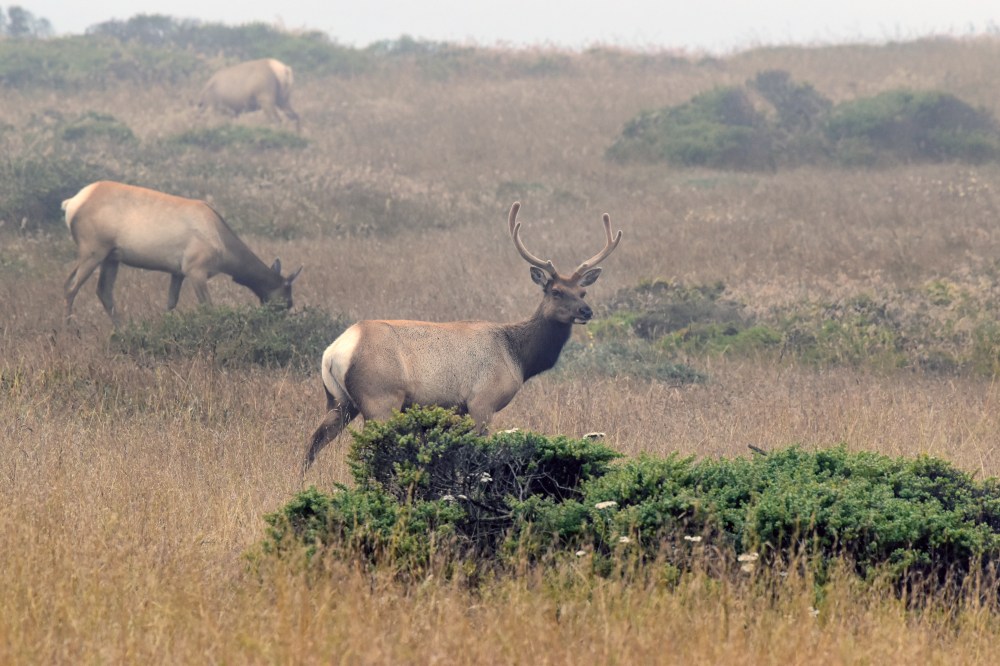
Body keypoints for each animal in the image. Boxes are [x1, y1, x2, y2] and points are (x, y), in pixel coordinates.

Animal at [62, 181, 302, 326]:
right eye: (287, 301)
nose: (276, 324)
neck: (222, 245)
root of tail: (70, 203)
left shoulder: (177, 272)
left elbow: (171, 303)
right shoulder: (196, 270)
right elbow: (208, 308)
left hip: (111, 257)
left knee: (103, 291)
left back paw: (122, 329)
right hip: (93, 251)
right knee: (70, 286)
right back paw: (71, 330)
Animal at [302, 202, 622, 471]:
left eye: (582, 291)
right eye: (556, 291)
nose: (586, 310)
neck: (518, 357)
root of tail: (335, 352)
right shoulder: (482, 402)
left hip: (339, 400)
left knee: (313, 443)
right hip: (380, 398)